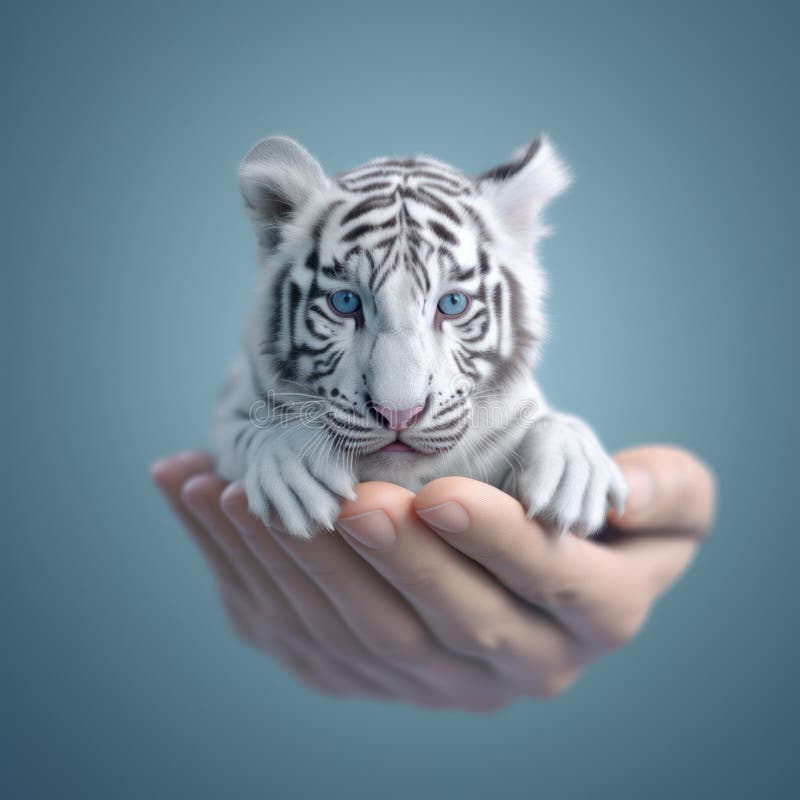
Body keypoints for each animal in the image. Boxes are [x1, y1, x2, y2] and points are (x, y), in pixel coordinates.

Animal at [213, 135, 627, 538]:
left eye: (453, 303)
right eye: (345, 302)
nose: (399, 414)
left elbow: (553, 420)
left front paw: (574, 472)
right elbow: (249, 428)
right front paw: (295, 464)